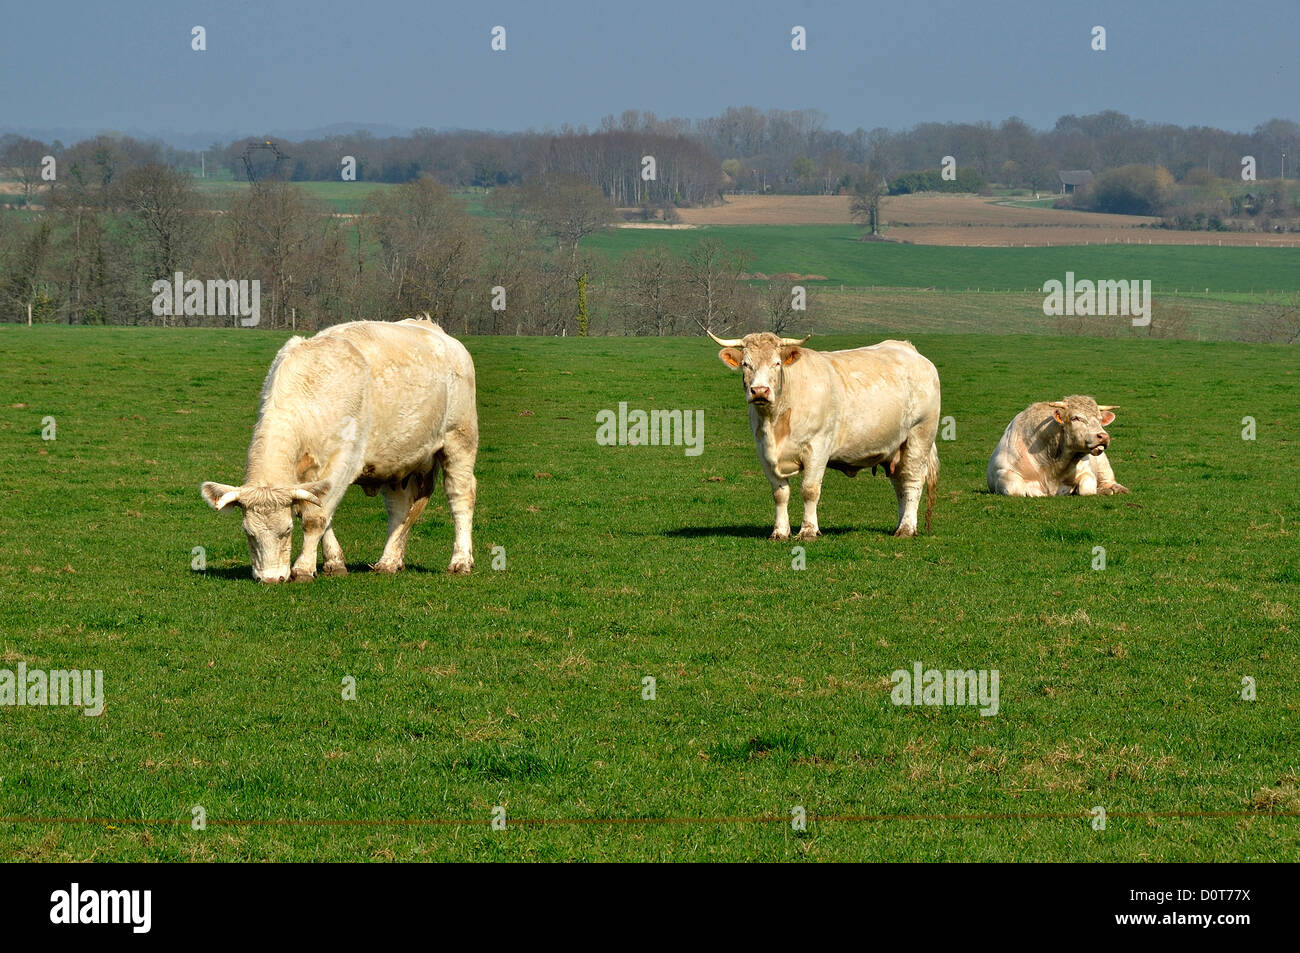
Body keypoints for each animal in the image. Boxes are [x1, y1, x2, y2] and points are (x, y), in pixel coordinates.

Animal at [201, 316, 478, 583]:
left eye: (287, 530)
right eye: (247, 532)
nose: (269, 579)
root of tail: (434, 328)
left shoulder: (343, 462)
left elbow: (316, 518)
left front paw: (303, 569)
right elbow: (323, 514)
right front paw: (334, 563)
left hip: (459, 440)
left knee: (460, 497)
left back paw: (460, 561)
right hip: (397, 460)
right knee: (399, 508)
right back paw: (389, 562)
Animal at [709, 331, 941, 539]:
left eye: (777, 363)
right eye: (745, 364)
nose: (759, 391)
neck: (776, 421)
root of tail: (909, 349)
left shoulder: (817, 447)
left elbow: (810, 490)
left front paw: (808, 531)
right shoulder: (764, 451)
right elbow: (780, 493)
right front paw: (780, 532)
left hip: (919, 436)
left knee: (912, 481)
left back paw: (907, 528)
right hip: (895, 447)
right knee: (900, 484)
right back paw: (900, 525)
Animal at [986, 395, 1128, 497]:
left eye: (1100, 419)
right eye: (1075, 418)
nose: (1104, 437)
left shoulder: (1086, 472)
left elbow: (1087, 489)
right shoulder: (1003, 471)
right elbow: (1016, 489)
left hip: (1103, 466)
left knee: (1109, 482)